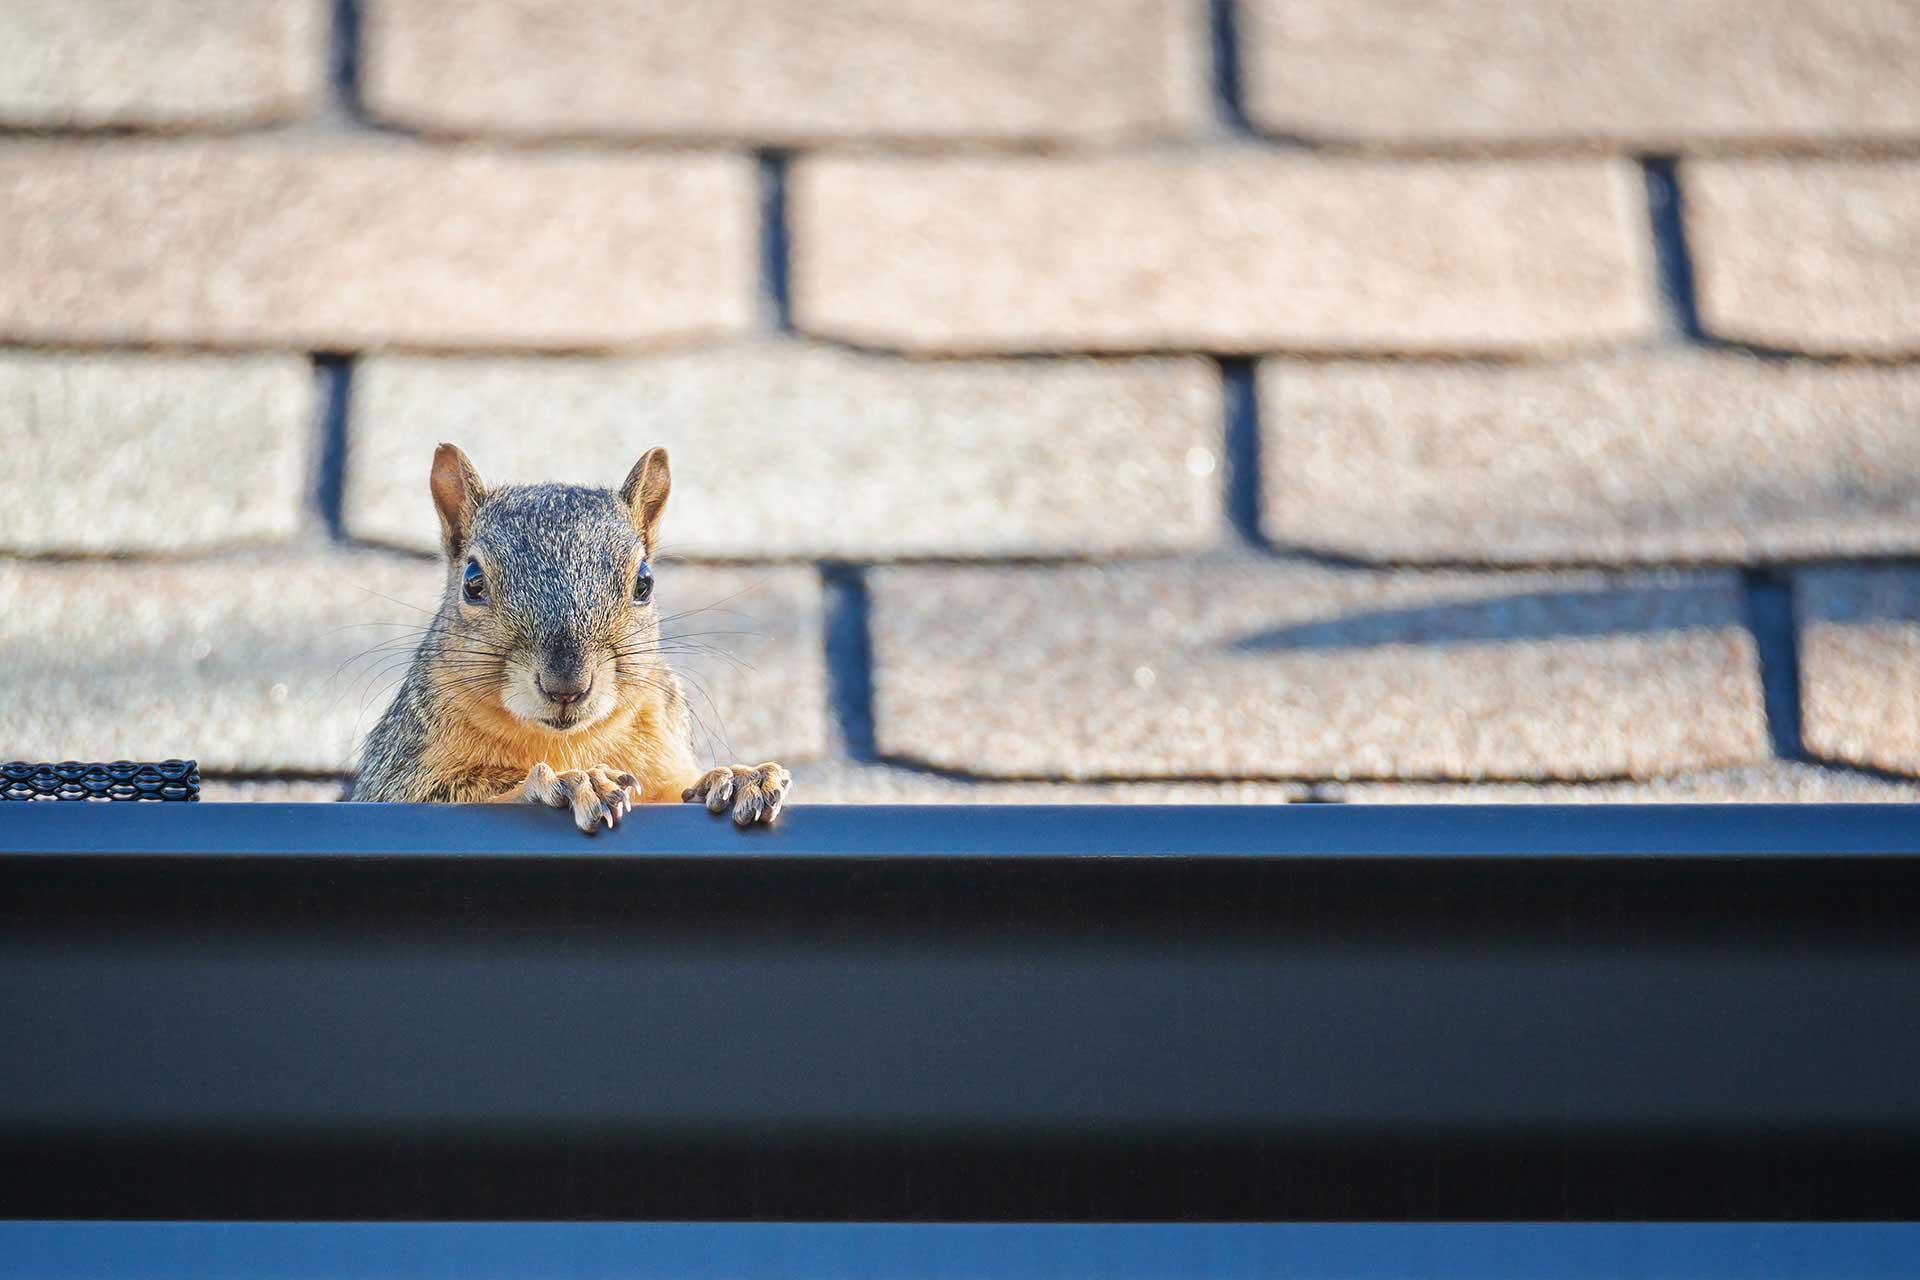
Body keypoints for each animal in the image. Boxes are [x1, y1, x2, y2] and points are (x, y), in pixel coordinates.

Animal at [351, 443, 792, 833]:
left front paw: (735, 778)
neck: (568, 740)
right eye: (472, 582)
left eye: (644, 583)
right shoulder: (397, 776)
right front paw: (567, 782)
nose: (566, 686)